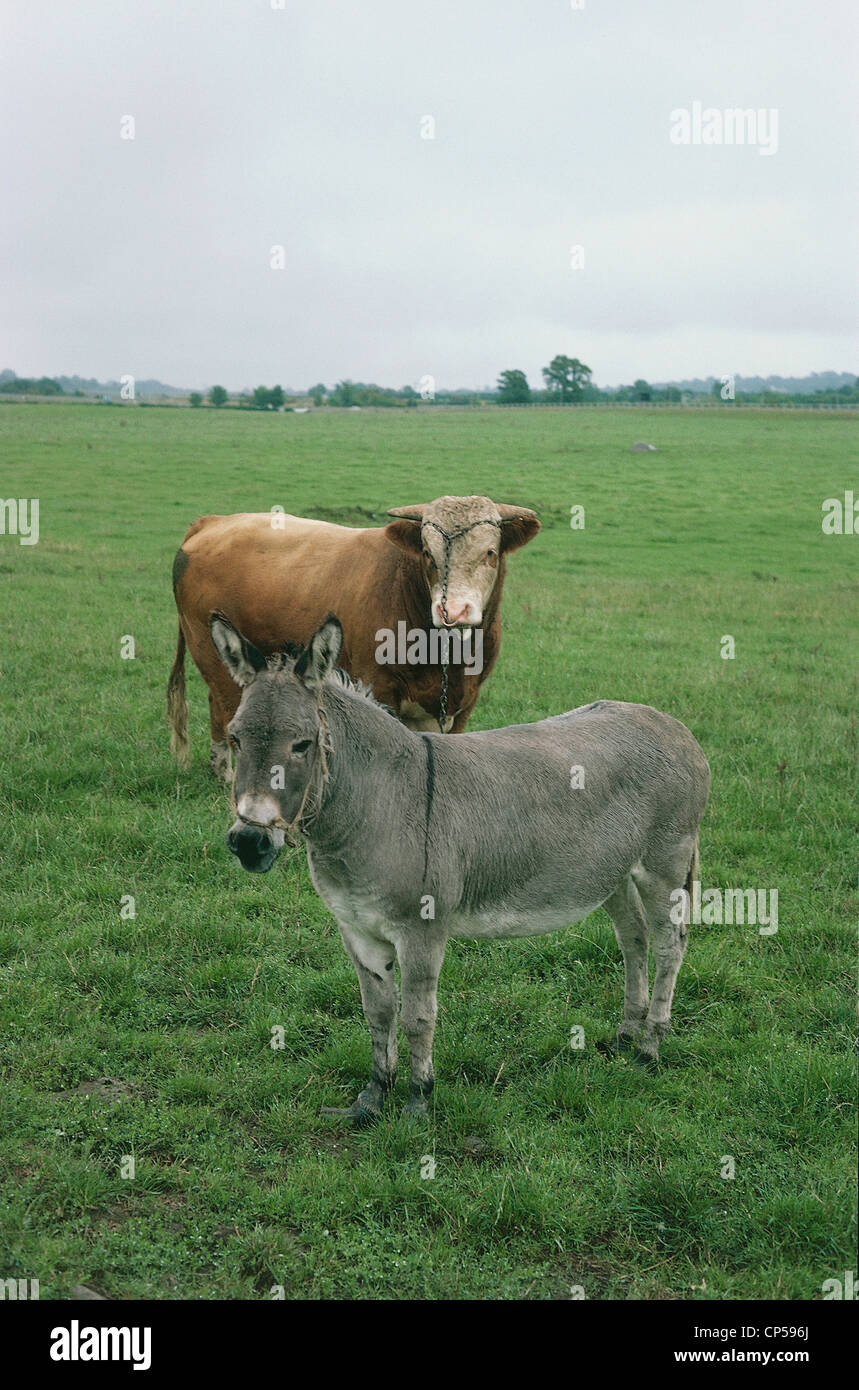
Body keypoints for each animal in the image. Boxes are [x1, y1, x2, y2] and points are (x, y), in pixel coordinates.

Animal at [167, 495, 540, 778]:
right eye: (427, 554)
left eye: (489, 553)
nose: (454, 611)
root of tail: (212, 522)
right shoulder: (380, 687)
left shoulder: (463, 703)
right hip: (207, 646)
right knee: (226, 704)